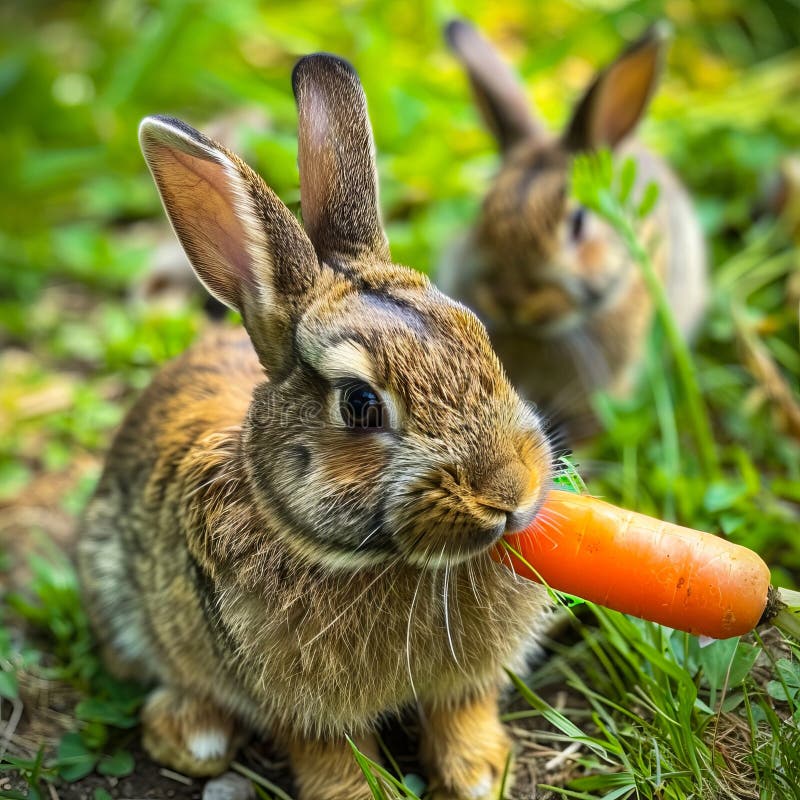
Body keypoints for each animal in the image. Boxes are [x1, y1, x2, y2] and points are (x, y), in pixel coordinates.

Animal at [78, 53, 556, 800]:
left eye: (480, 338)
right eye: (360, 404)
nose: (509, 491)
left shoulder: (466, 680)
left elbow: (462, 710)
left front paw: (480, 773)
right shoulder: (296, 701)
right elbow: (331, 754)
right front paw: (364, 793)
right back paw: (192, 734)